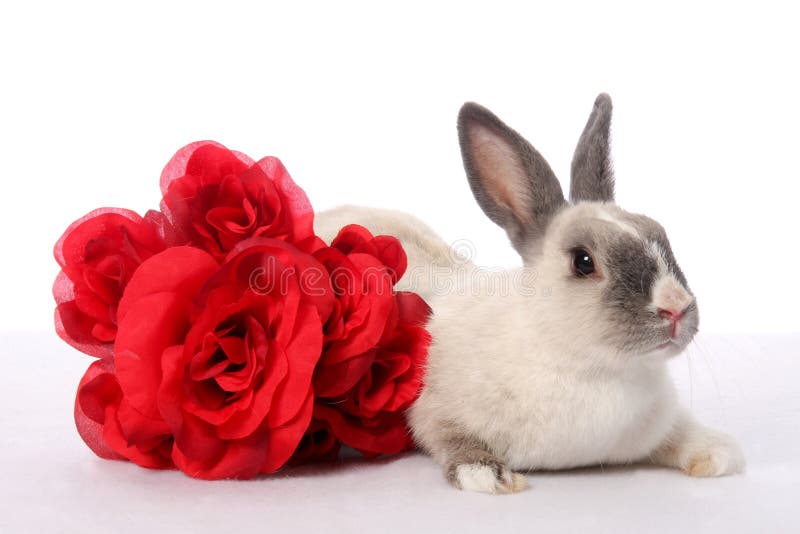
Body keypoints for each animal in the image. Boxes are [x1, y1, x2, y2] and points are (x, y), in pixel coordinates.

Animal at [314, 94, 744, 494]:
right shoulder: (433, 413)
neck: (591, 366)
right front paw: (489, 475)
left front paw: (719, 453)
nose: (676, 309)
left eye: (659, 233)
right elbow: (449, 439)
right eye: (583, 261)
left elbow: (681, 434)